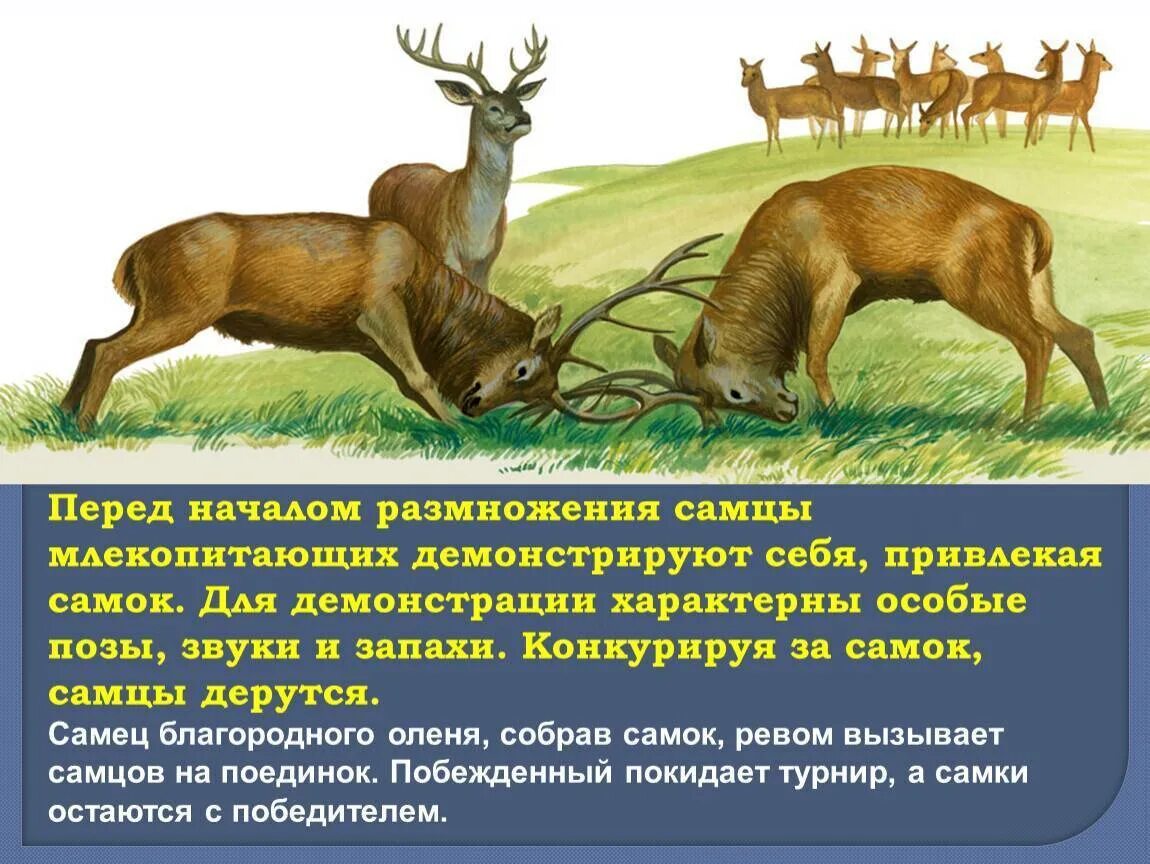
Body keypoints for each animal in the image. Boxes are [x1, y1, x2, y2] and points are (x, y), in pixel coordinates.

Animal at [60, 213, 720, 432]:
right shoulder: (377, 307)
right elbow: (422, 377)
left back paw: (64, 418)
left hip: (157, 308)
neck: (428, 291)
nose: (476, 403)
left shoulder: (366, 337)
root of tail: (131, 259)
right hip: (180, 309)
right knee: (110, 350)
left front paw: (453, 427)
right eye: (525, 368)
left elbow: (408, 381)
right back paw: (88, 426)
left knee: (93, 340)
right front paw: (460, 433)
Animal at [367, 24, 547, 289]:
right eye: (493, 107)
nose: (524, 118)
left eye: (520, 104)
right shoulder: (445, 249)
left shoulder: (488, 259)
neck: (475, 231)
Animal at [566, 167, 1108, 427]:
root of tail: (1028, 219)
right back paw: (1102, 413)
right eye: (716, 401)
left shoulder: (836, 281)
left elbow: (816, 353)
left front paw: (831, 409)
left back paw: (1027, 420)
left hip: (976, 285)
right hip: (1033, 284)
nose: (785, 411)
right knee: (1076, 333)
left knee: (1036, 341)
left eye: (734, 393)